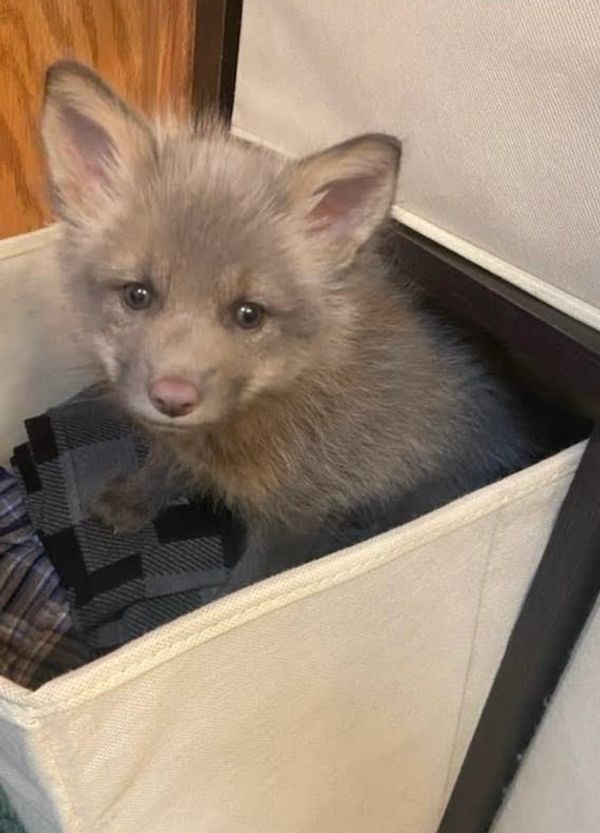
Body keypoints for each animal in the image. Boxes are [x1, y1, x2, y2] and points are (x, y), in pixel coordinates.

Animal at [41, 61, 541, 590]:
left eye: (249, 314)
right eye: (137, 294)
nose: (173, 399)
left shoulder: (295, 517)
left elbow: (244, 587)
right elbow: (166, 461)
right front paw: (138, 495)